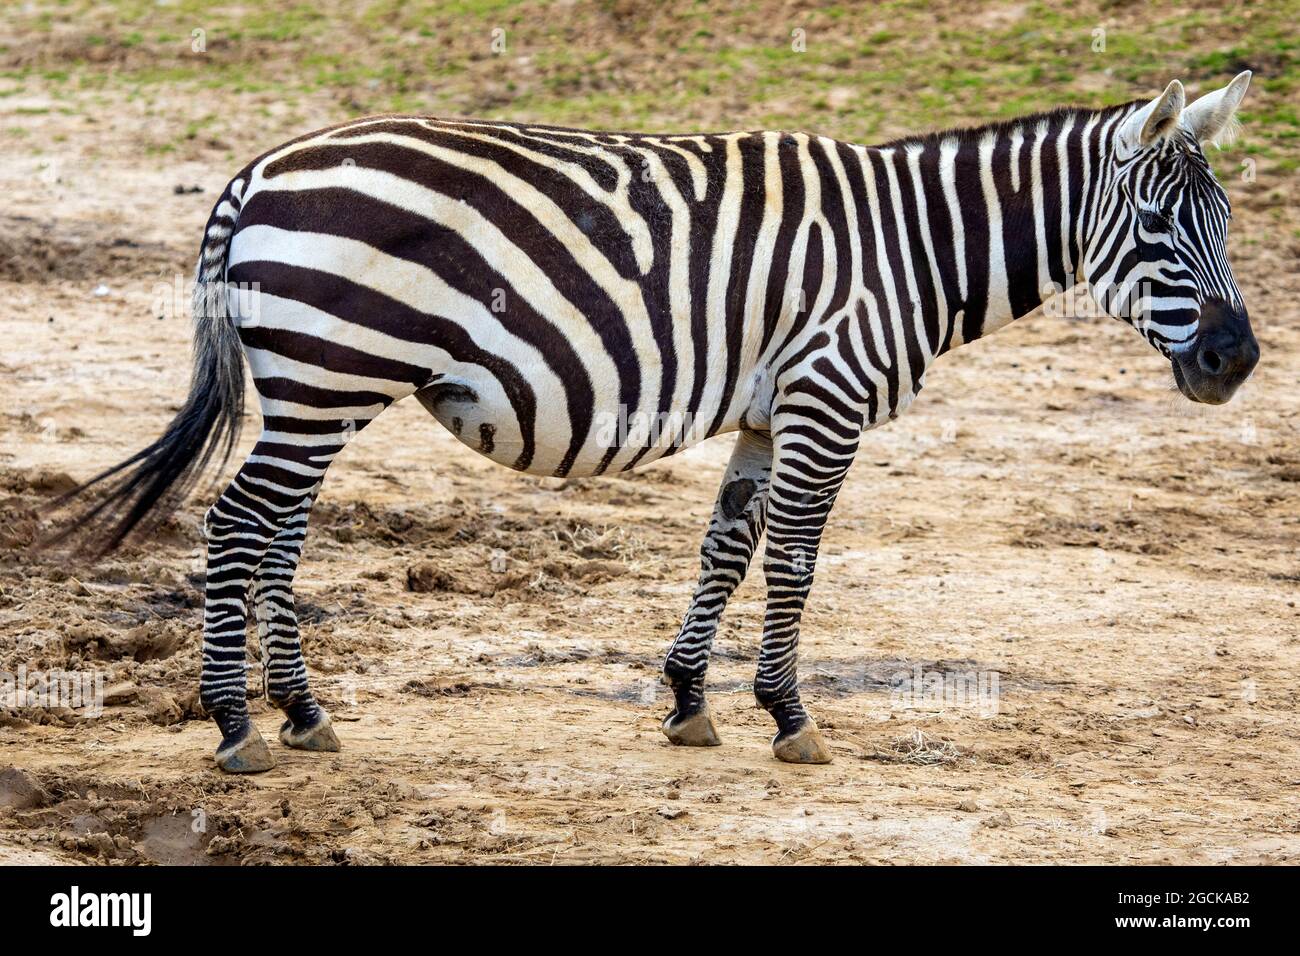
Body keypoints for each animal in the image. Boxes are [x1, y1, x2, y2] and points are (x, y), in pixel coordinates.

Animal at [52, 72, 1258, 772]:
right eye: (1160, 225)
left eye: (1228, 222)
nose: (1236, 359)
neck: (910, 246)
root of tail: (257, 168)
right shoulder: (828, 395)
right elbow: (796, 556)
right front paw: (789, 716)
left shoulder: (771, 411)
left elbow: (728, 543)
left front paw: (687, 700)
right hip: (329, 375)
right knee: (236, 527)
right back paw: (237, 726)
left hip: (315, 386)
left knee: (274, 532)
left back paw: (301, 712)